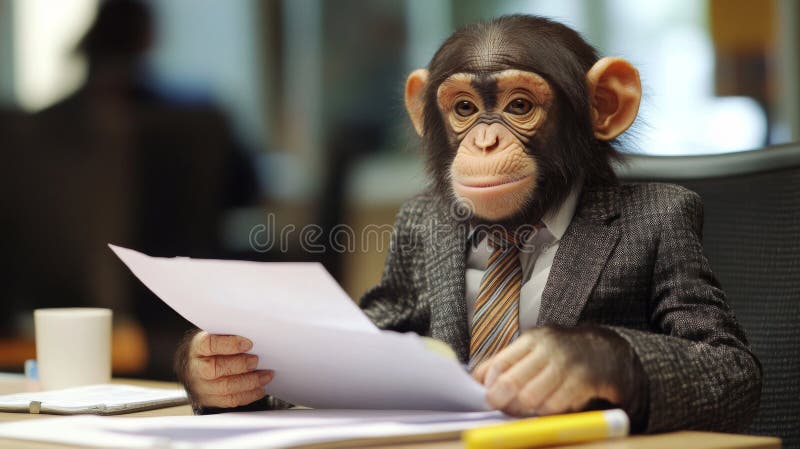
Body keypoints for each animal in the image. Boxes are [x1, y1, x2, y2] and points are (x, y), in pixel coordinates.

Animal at [175, 15, 761, 433]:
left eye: (519, 105)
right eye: (463, 107)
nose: (485, 141)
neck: (516, 227)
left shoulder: (677, 231)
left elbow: (721, 355)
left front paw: (567, 359)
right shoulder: (408, 239)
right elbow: (376, 319)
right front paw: (217, 364)